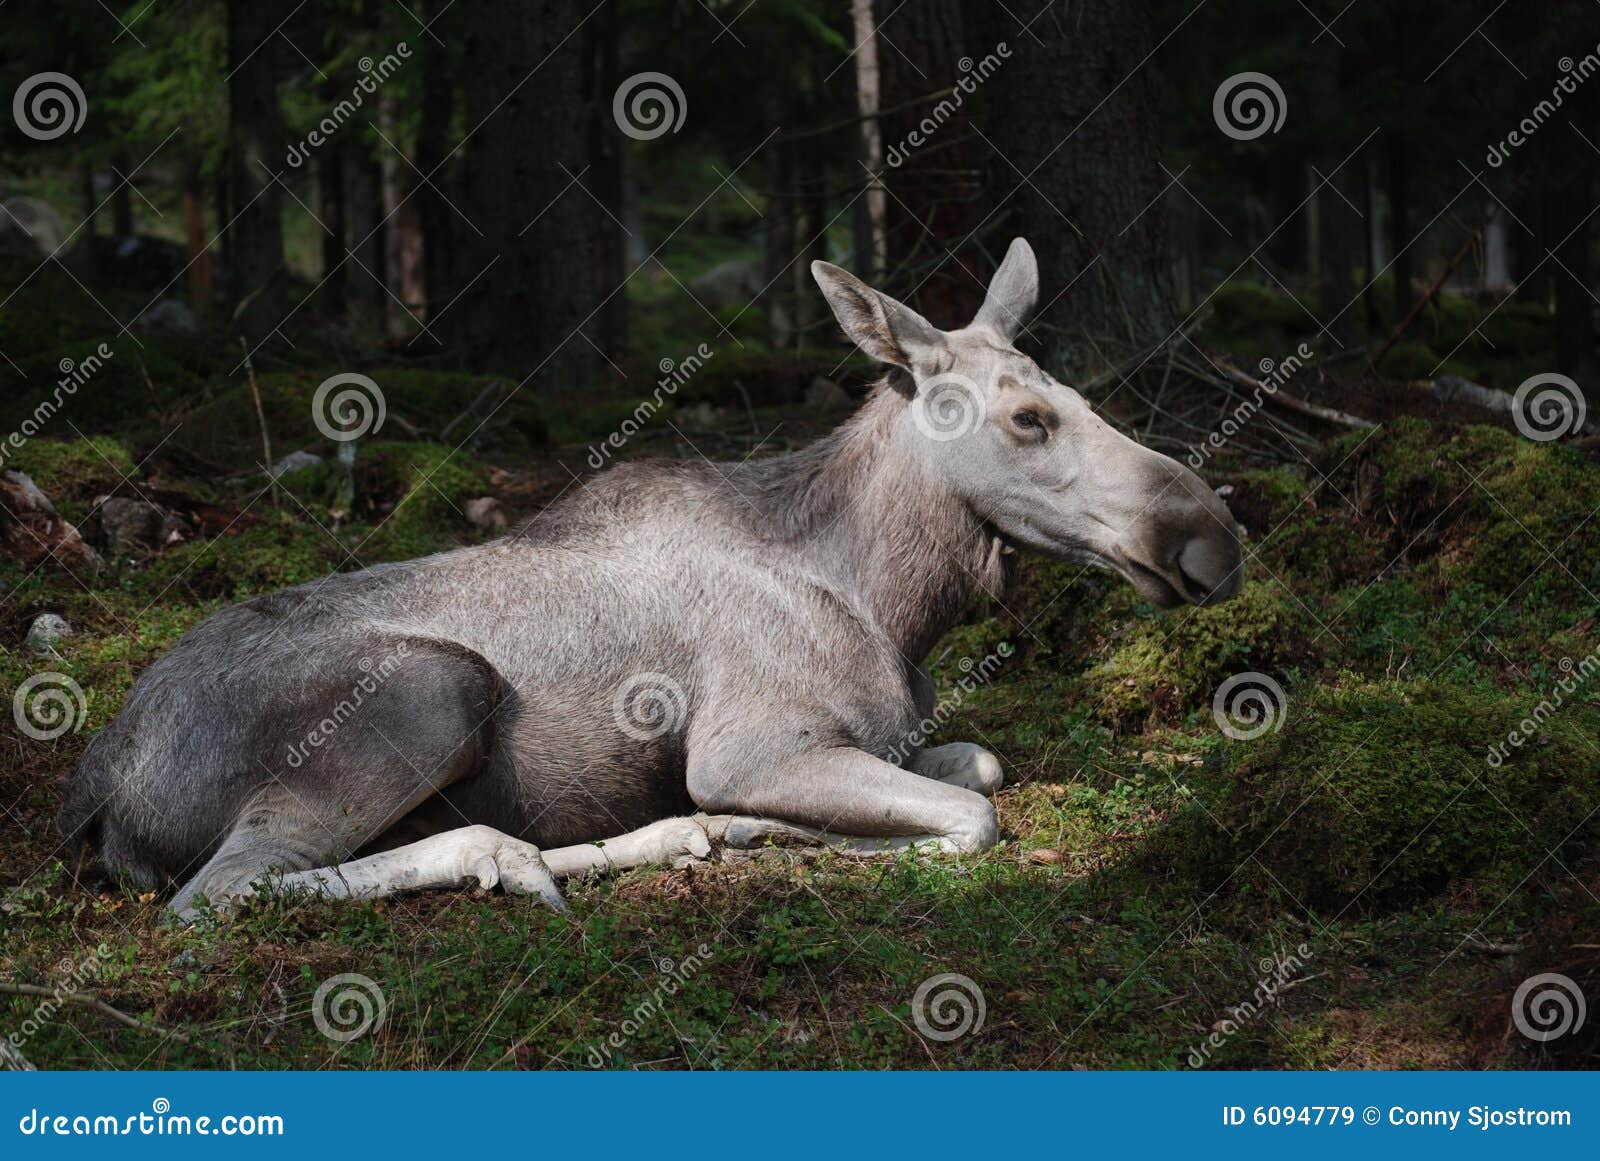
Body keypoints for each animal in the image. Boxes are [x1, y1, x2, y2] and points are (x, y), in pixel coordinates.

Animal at [58, 239, 1243, 918]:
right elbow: (972, 818)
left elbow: (983, 767)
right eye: (1031, 418)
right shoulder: (750, 748)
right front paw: (764, 832)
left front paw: (728, 832)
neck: (896, 602)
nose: (1212, 542)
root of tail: (98, 785)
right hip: (429, 688)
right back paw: (510, 857)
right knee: (217, 896)